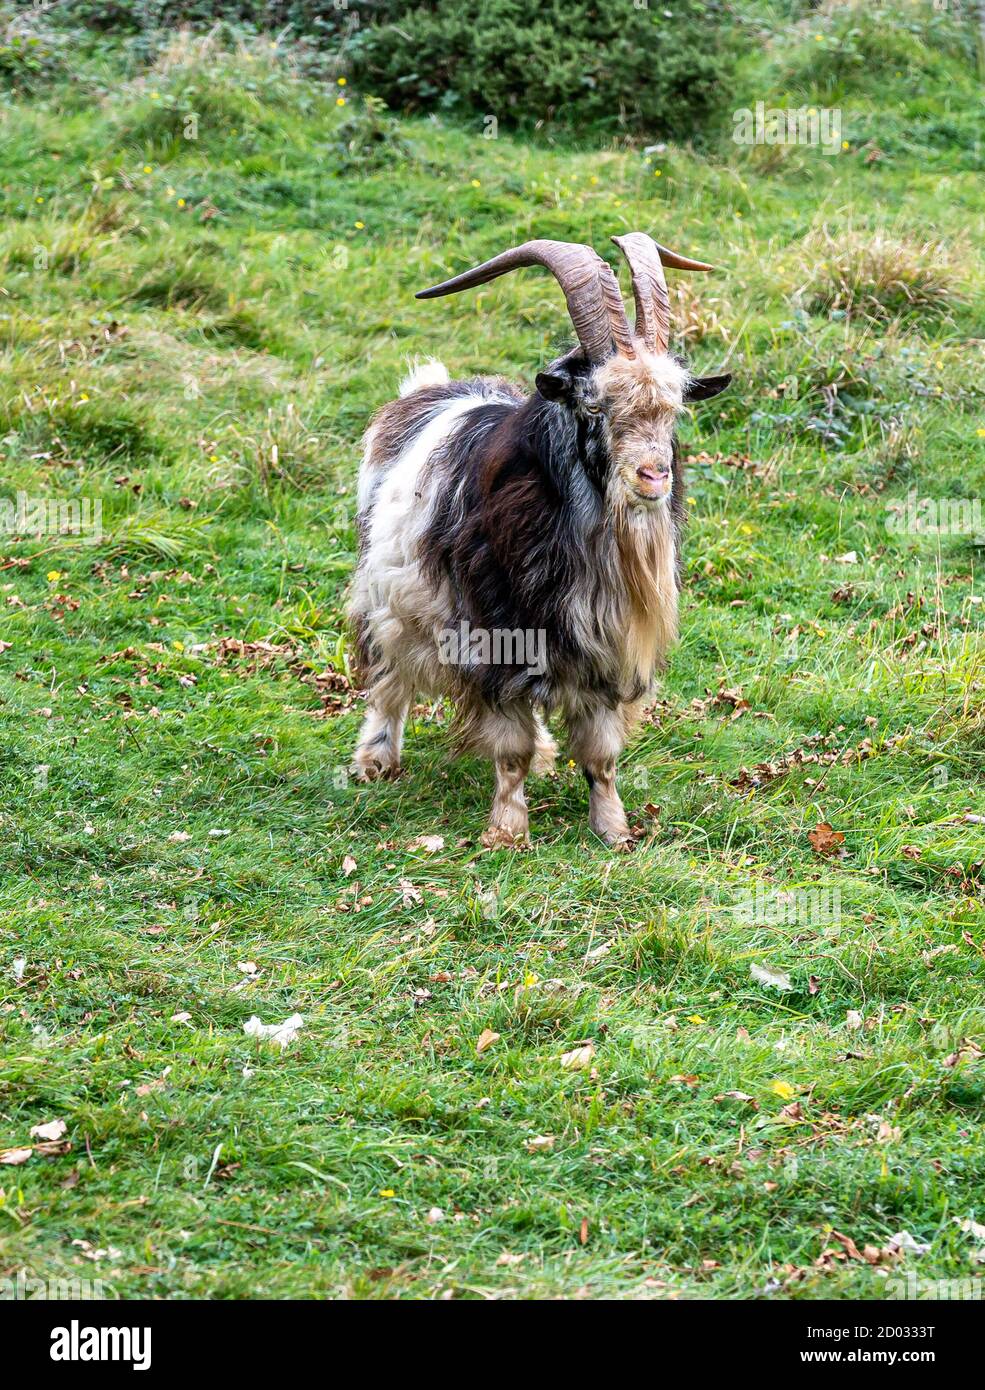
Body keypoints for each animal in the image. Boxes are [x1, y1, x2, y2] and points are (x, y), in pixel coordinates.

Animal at [349, 234, 731, 848]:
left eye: (673, 410)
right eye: (594, 406)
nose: (654, 476)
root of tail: (428, 390)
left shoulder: (607, 650)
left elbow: (600, 754)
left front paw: (614, 831)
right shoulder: (494, 639)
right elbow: (511, 750)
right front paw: (507, 832)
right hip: (386, 594)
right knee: (388, 677)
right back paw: (376, 760)